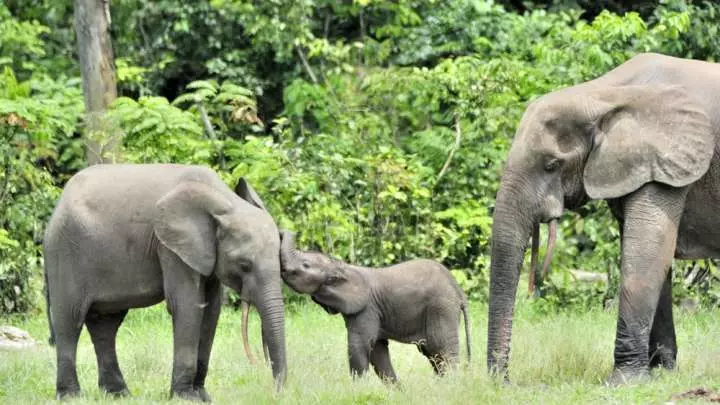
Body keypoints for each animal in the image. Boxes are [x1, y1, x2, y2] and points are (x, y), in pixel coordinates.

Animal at [43, 163, 286, 400]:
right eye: (244, 265)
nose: (275, 392)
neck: (225, 201)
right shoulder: (169, 248)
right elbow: (188, 306)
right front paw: (185, 397)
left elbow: (211, 310)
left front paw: (203, 396)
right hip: (65, 251)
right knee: (70, 319)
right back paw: (71, 397)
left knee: (106, 324)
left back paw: (119, 395)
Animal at [278, 230, 472, 382]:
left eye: (305, 265)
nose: (281, 231)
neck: (342, 266)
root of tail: (458, 289)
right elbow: (377, 351)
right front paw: (398, 392)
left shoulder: (367, 308)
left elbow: (359, 346)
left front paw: (358, 389)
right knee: (433, 353)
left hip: (441, 307)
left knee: (443, 349)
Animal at [486, 52, 720, 384]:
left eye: (551, 165)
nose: (505, 382)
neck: (601, 94)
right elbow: (652, 257)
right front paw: (661, 374)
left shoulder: (666, 159)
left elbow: (646, 251)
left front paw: (624, 382)